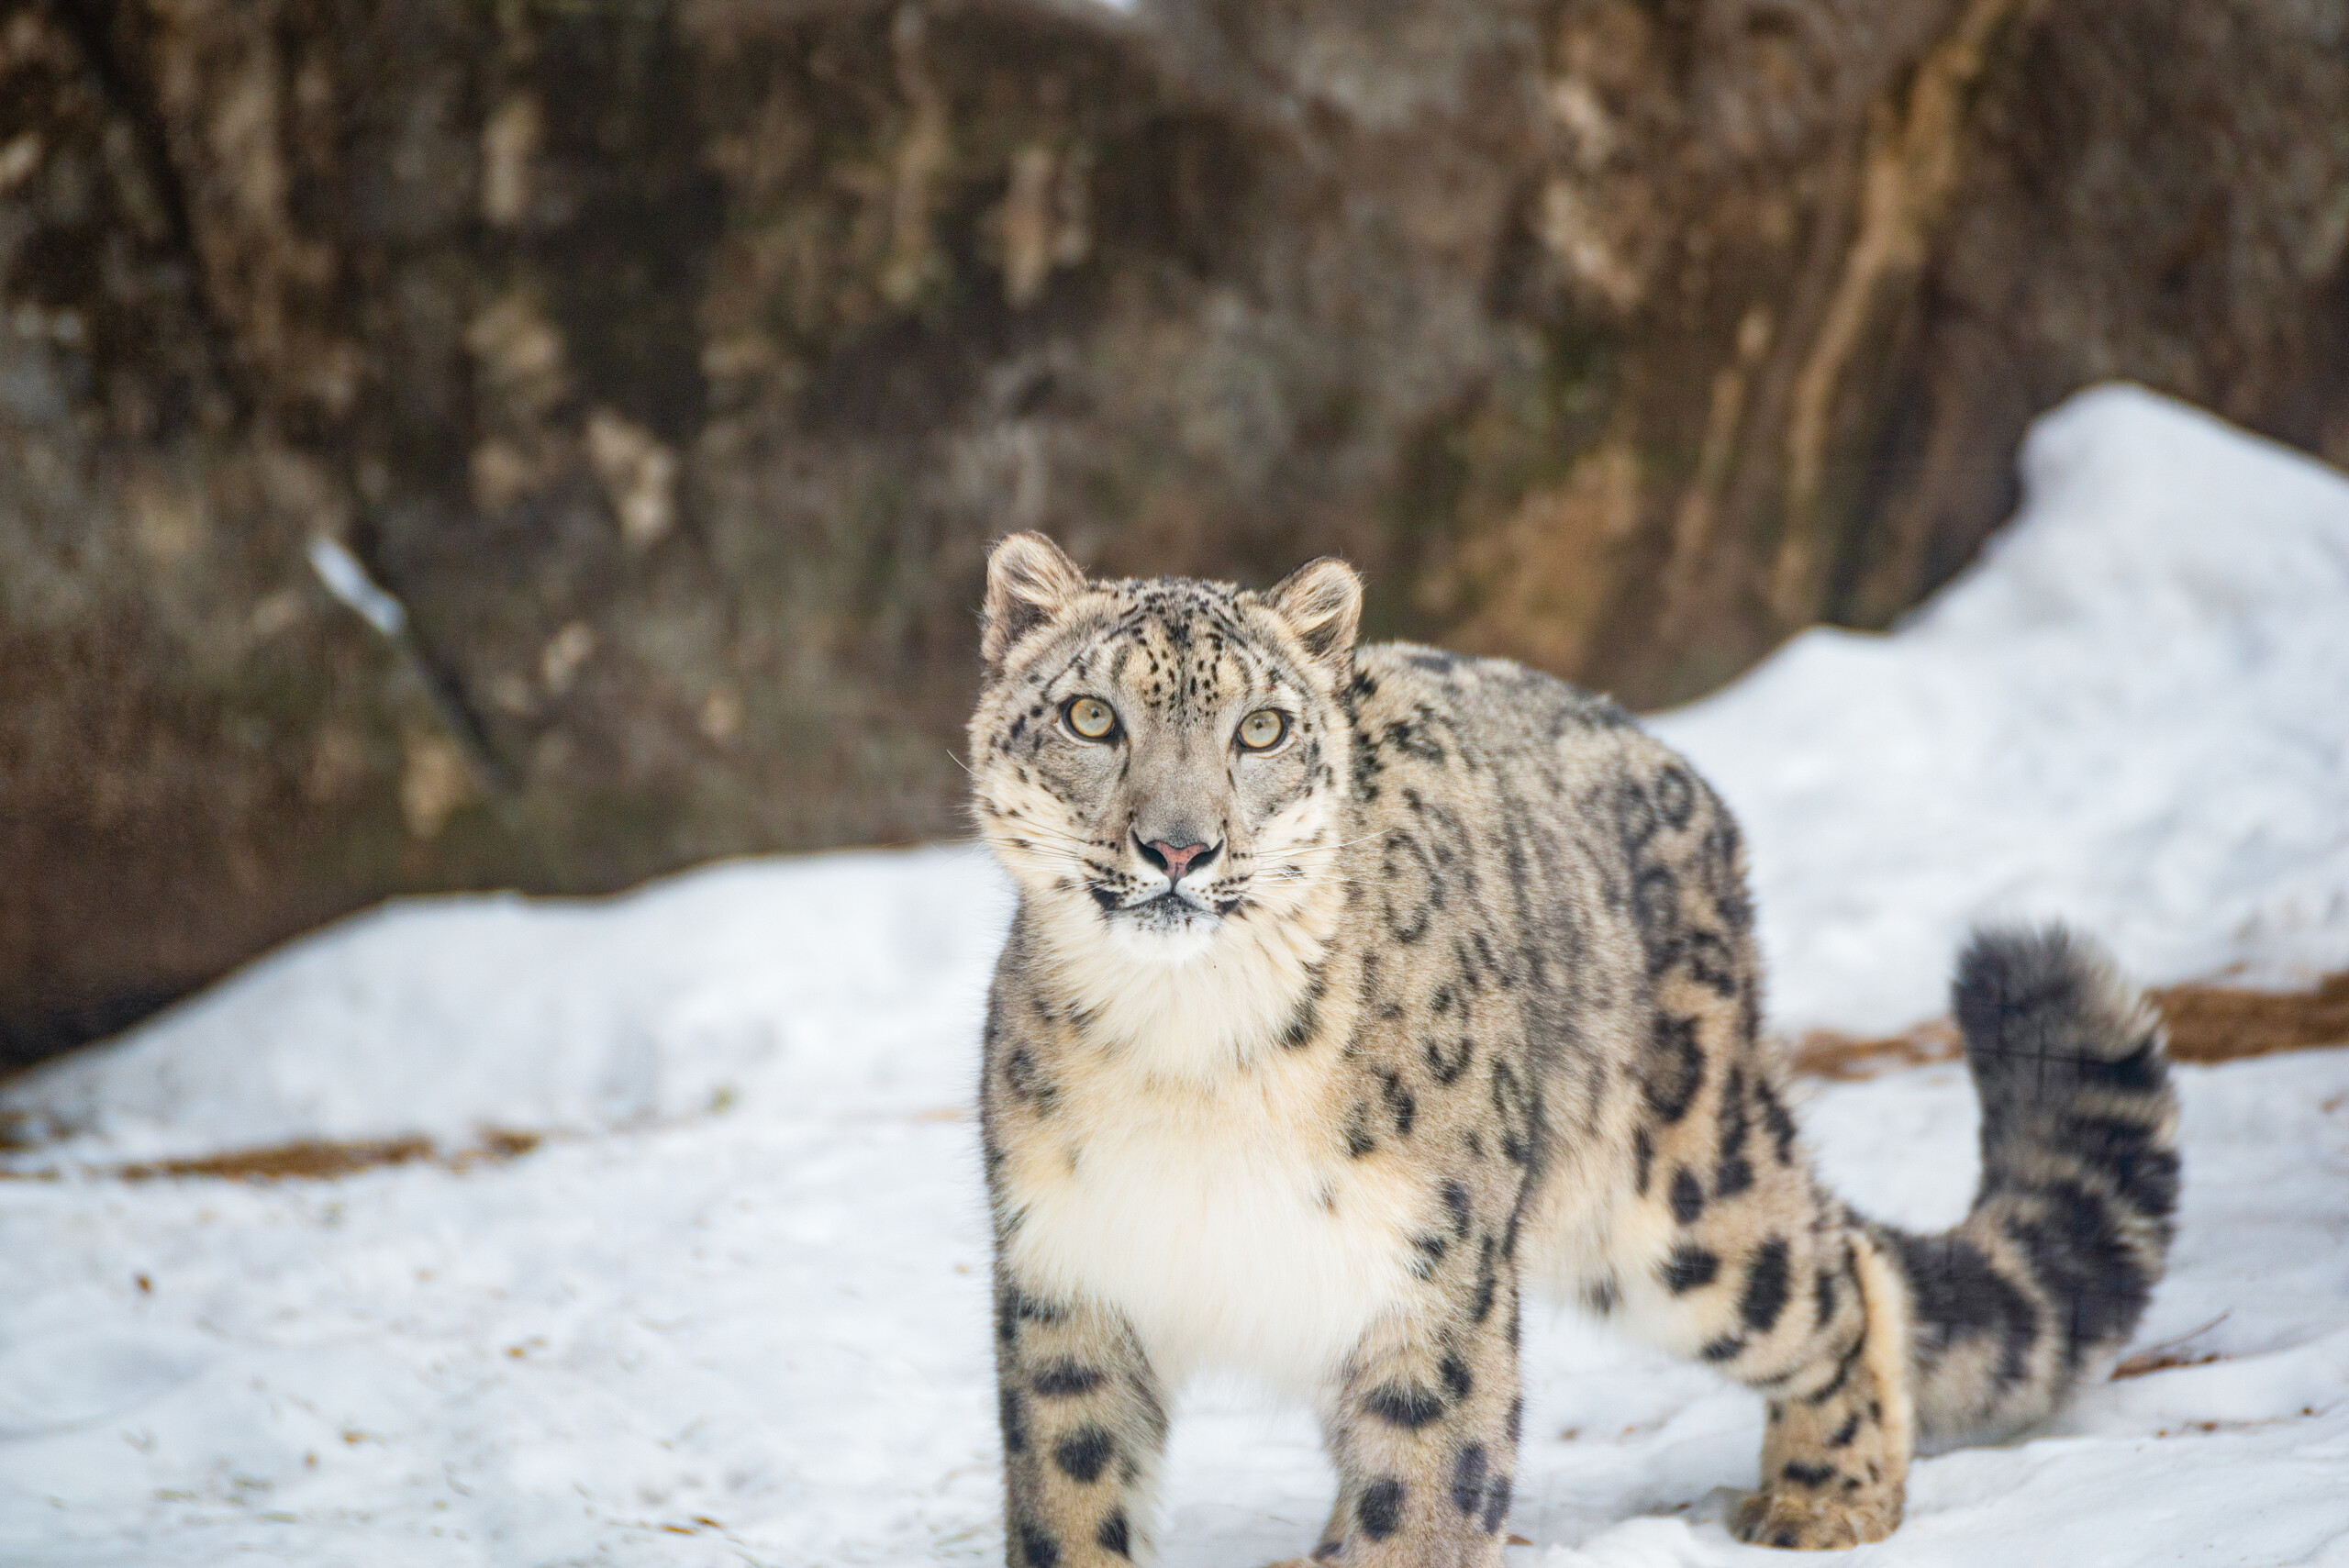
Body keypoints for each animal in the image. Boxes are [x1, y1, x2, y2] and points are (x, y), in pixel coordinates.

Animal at [967, 532, 2179, 1564]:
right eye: (1090, 715)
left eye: (1258, 728)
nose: (1179, 846)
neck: (1188, 1050)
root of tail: (1669, 760)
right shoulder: (1066, 1277)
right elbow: (1073, 1495)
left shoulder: (1434, 1277)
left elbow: (1416, 1499)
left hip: (1677, 1199)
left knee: (1839, 1268)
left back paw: (1827, 1497)